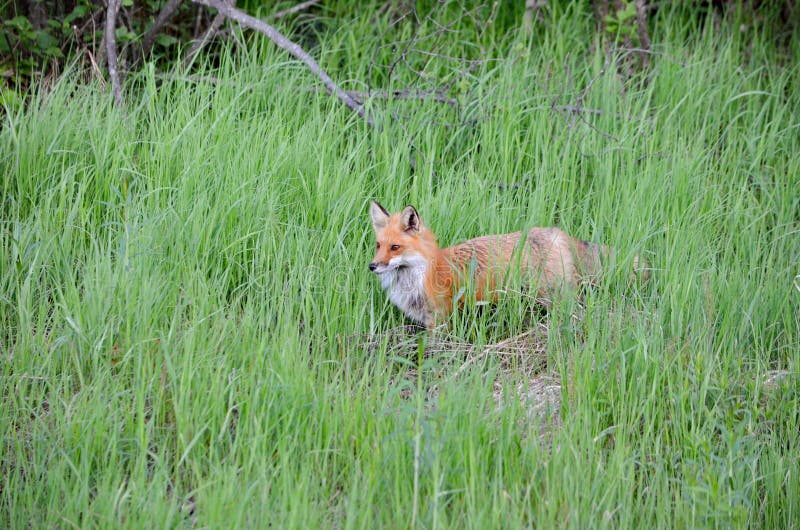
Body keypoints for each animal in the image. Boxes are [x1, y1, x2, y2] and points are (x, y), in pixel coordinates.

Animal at [368, 201, 647, 328]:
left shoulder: (440, 319)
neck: (419, 275)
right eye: (378, 245)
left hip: (554, 297)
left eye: (395, 248)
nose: (372, 266)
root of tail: (557, 232)